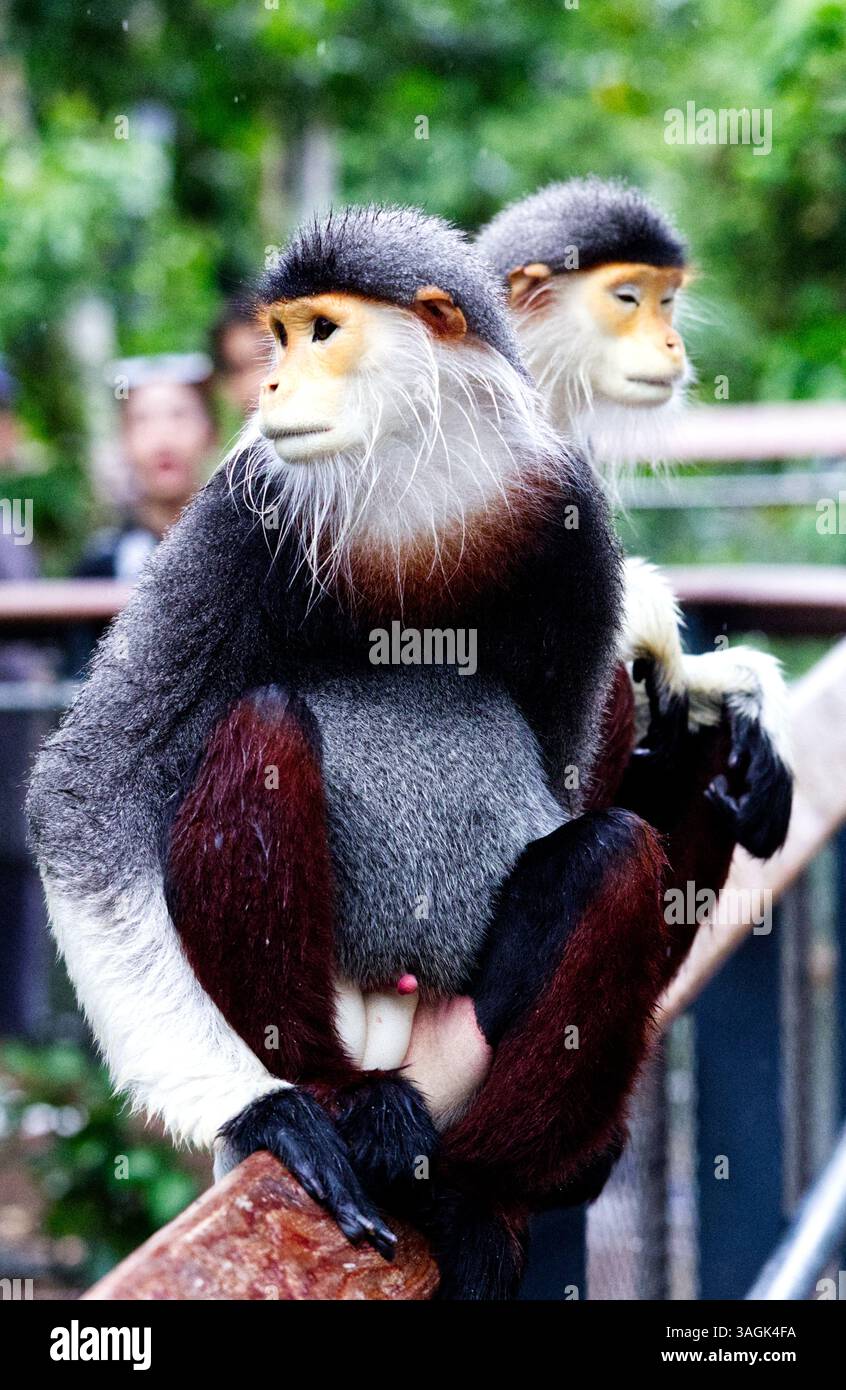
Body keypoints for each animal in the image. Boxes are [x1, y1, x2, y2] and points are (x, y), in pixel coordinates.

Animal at [28, 205, 674, 1300]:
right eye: (280, 338)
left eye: (322, 332)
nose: (272, 387)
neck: (412, 482)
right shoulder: (240, 506)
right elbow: (91, 787)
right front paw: (267, 1112)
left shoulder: (570, 514)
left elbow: (572, 769)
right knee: (268, 721)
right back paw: (340, 1106)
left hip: (467, 1035)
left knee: (616, 852)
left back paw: (460, 1190)